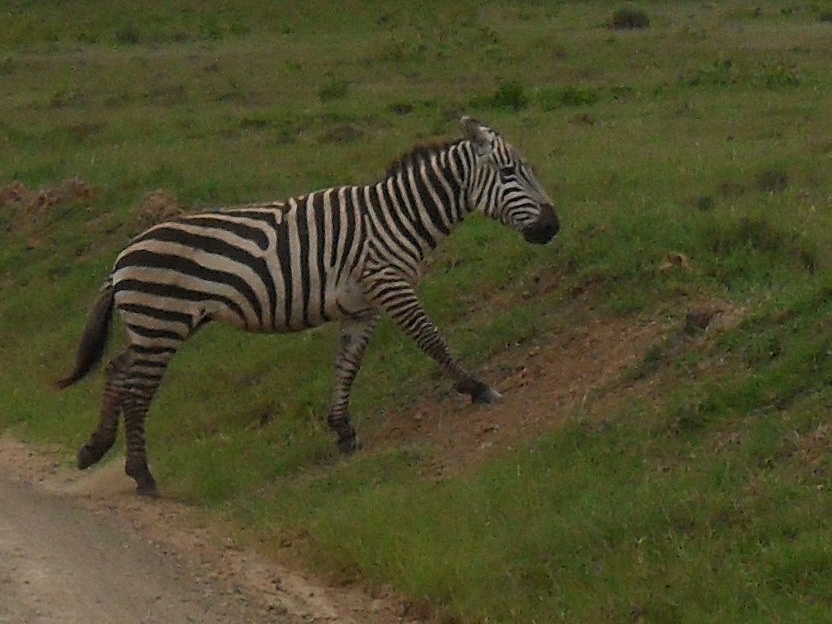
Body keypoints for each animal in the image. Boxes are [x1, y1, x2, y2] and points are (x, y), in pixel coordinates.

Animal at [56, 117, 560, 496]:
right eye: (511, 173)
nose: (553, 227)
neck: (399, 218)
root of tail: (122, 255)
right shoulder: (390, 284)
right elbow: (431, 339)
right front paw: (477, 388)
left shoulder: (362, 307)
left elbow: (347, 366)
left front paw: (343, 431)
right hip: (162, 322)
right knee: (137, 390)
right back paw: (142, 476)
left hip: (163, 323)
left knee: (117, 370)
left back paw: (95, 448)